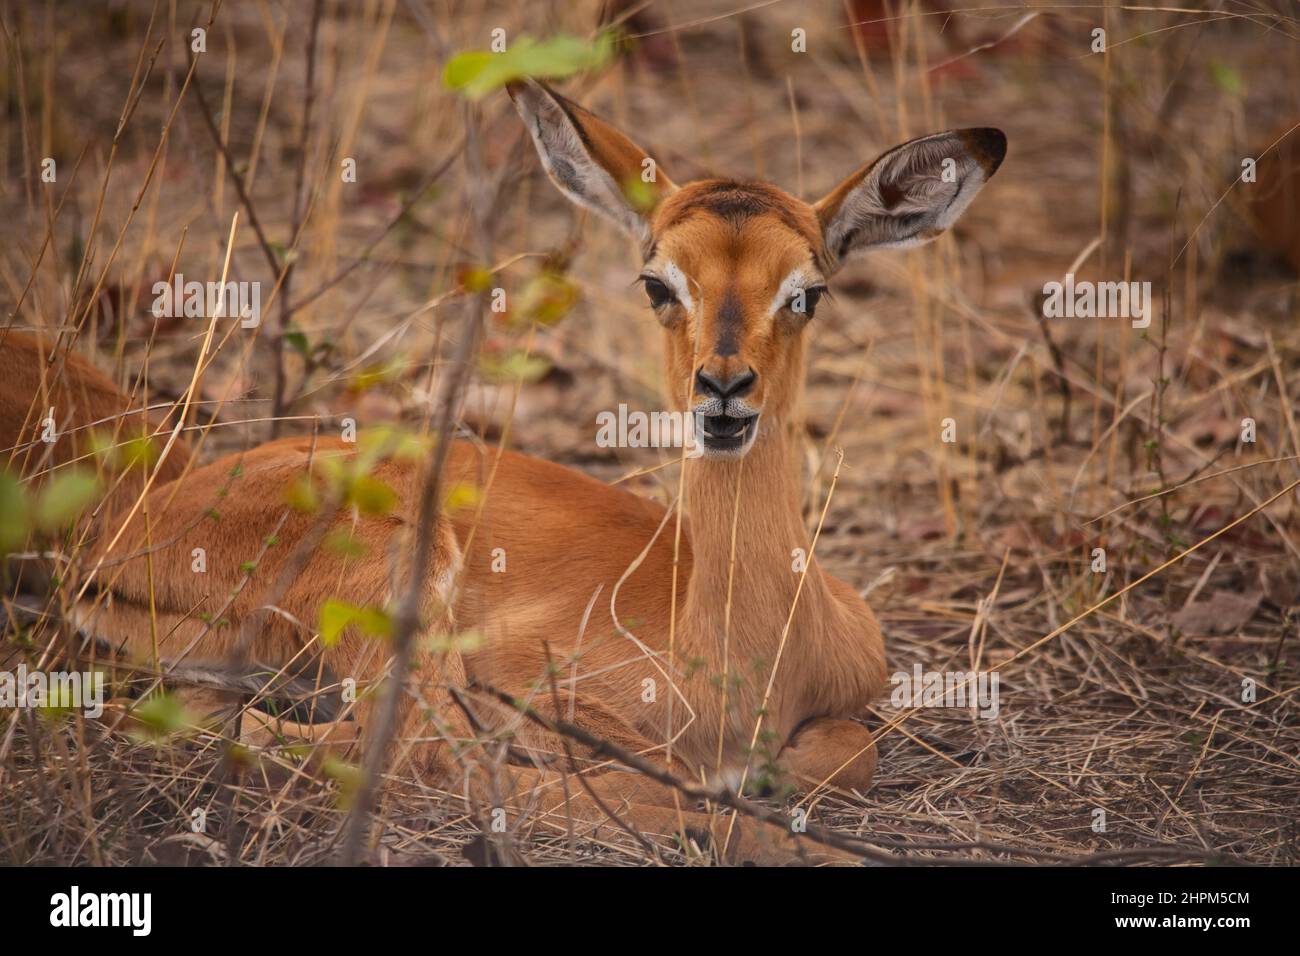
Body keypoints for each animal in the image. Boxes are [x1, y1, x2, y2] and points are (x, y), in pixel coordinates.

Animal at [0, 80, 1004, 864]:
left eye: (808, 290)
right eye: (658, 282)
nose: (724, 391)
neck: (736, 655)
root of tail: (127, 523)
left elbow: (846, 754)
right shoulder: (514, 678)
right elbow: (650, 772)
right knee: (383, 750)